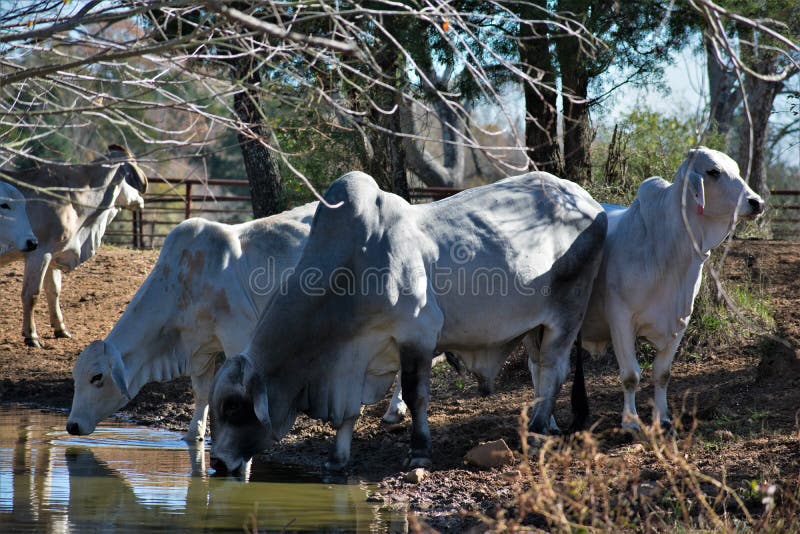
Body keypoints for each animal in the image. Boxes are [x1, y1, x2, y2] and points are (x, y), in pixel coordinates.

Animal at [0, 145, 147, 347]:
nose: (141, 199)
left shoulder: (52, 255)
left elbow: (53, 291)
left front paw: (61, 329)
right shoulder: (39, 253)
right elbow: (32, 294)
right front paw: (32, 336)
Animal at [66, 202, 316, 442]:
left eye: (96, 377)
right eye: (75, 377)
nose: (72, 426)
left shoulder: (238, 338)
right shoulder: (199, 349)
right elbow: (202, 391)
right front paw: (194, 435)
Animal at [209, 170, 607, 476]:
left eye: (232, 406)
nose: (216, 463)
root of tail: (589, 202)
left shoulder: (417, 334)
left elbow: (416, 395)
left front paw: (419, 451)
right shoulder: (354, 358)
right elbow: (348, 413)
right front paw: (337, 459)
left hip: (567, 310)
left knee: (554, 370)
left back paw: (538, 431)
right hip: (538, 325)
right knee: (541, 369)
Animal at [580, 147, 765, 432]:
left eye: (735, 169)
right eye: (713, 171)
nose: (756, 202)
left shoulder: (680, 320)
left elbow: (662, 374)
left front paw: (663, 418)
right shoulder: (620, 317)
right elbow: (630, 375)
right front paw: (631, 422)